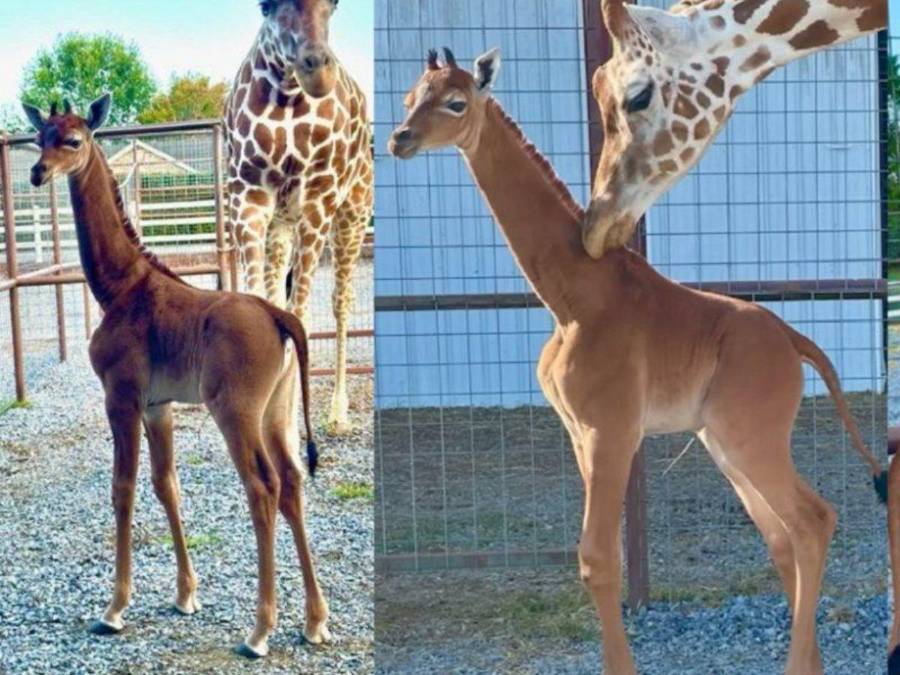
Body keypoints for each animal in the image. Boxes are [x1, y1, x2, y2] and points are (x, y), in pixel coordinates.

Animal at [22, 95, 328, 659]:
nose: (37, 172)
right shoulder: (157, 405)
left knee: (263, 486)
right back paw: (315, 621)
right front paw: (186, 595)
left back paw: (259, 632)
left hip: (236, 412)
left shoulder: (120, 397)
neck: (119, 287)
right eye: (40, 137)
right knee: (293, 480)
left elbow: (123, 487)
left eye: (73, 140)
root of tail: (280, 316)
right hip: (277, 411)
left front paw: (114, 609)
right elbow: (167, 485)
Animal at [224, 0, 373, 433]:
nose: (317, 70)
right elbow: (263, 303)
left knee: (341, 300)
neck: (287, 97)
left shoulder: (317, 202)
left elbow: (300, 314)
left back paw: (338, 413)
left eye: (335, 5)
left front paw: (288, 427)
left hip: (352, 212)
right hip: (282, 224)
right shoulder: (248, 200)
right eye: (265, 6)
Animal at [388, 48, 886, 675]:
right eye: (410, 97)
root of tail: (795, 340)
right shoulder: (580, 433)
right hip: (723, 442)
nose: (400, 139)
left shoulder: (613, 429)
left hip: (751, 437)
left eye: (456, 102)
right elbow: (604, 559)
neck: (573, 298)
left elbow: (599, 558)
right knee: (782, 535)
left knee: (812, 520)